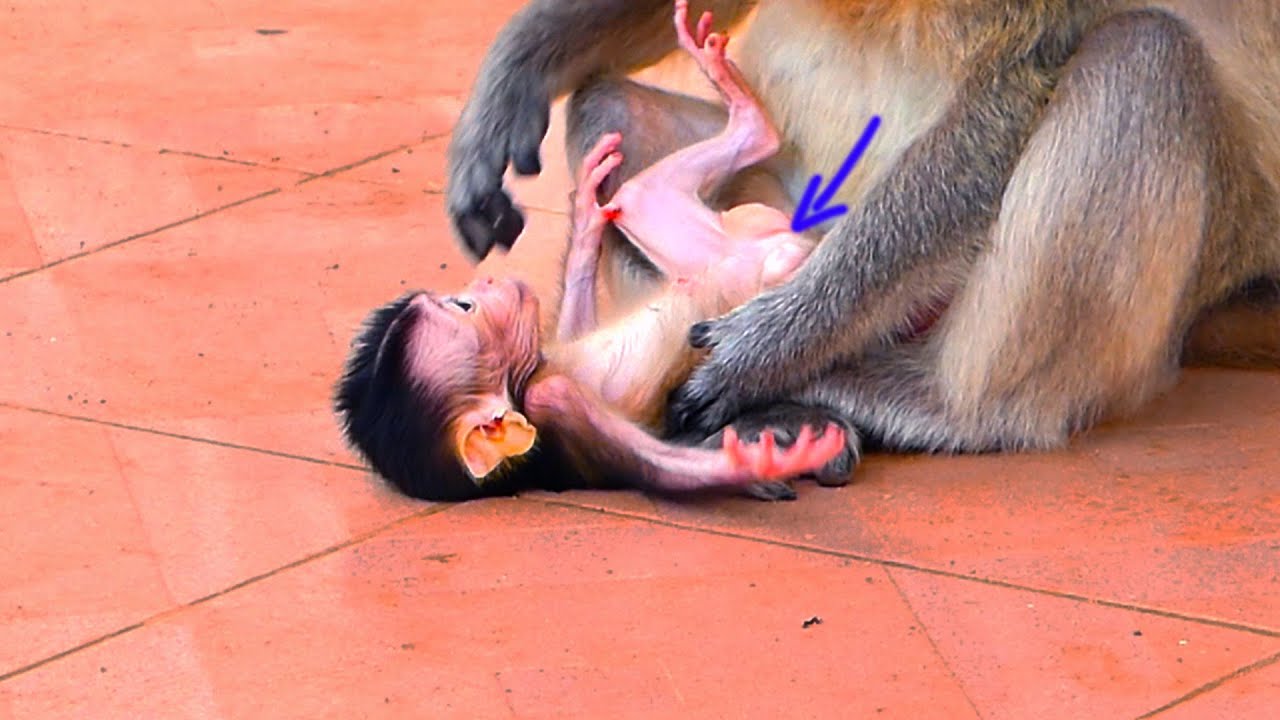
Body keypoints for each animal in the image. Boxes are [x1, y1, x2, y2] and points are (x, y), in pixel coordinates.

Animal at [335, 7, 847, 503]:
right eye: (466, 306)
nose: (487, 281)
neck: (530, 373)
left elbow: (575, 327)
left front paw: (584, 218)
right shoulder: (554, 404)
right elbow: (653, 466)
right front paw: (756, 465)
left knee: (639, 197)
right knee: (645, 197)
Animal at [445, 0, 1280, 465]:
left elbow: (1014, 76)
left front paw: (770, 347)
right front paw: (514, 78)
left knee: (1143, 54)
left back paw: (952, 408)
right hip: (785, 191)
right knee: (611, 108)